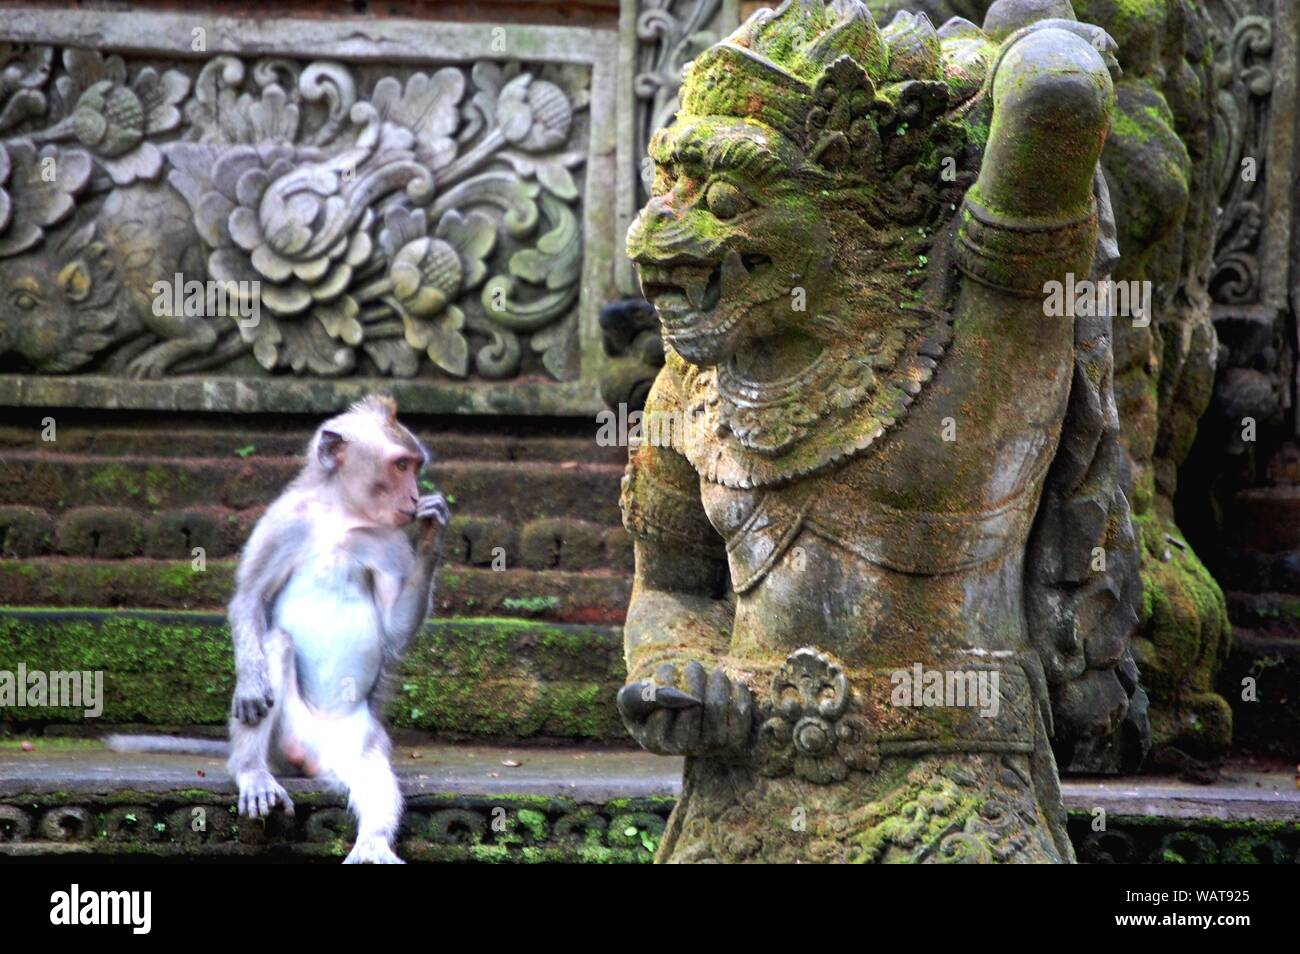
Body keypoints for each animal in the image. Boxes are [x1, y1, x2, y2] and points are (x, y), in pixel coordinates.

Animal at [109, 395, 449, 864]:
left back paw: (373, 842)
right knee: (276, 643)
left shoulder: (391, 542)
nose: (415, 495)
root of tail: (307, 755)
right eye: (401, 466)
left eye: (416, 467)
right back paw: (252, 771)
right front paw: (251, 686)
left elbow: (394, 634)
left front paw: (433, 534)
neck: (343, 517)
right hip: (284, 732)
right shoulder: (283, 522)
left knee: (372, 772)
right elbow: (249, 599)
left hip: (358, 738)